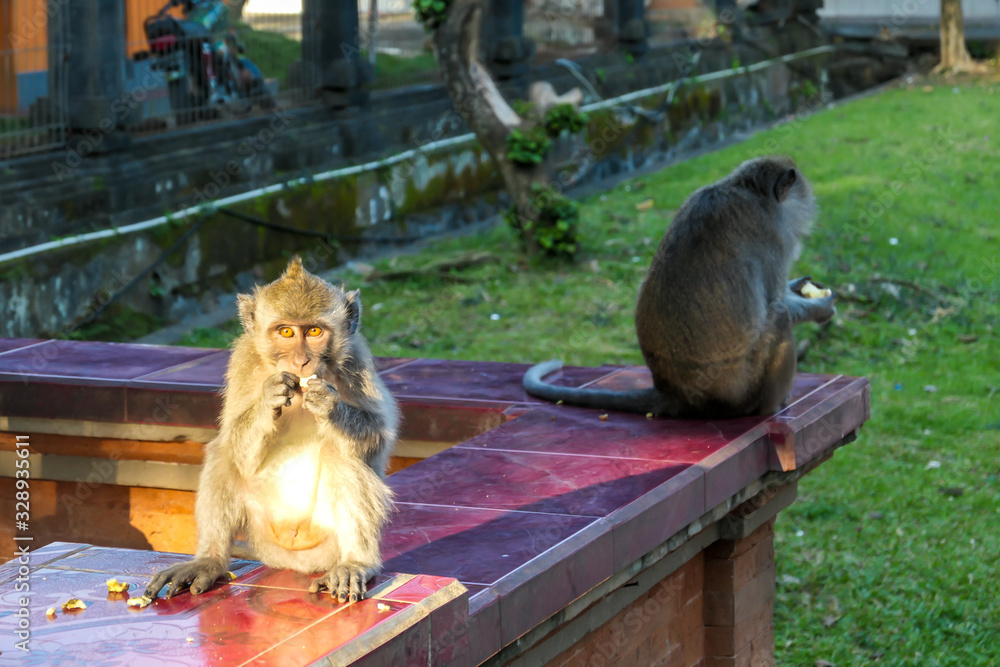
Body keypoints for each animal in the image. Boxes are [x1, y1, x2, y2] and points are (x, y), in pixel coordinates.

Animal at [145, 257, 398, 604]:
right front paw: (270, 399)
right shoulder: (243, 359)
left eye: (314, 331)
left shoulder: (357, 360)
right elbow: (236, 443)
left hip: (324, 541)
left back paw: (356, 563)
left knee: (343, 455)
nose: (302, 361)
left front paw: (328, 405)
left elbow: (377, 436)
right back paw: (209, 561)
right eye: (286, 331)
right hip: (262, 532)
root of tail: (295, 561)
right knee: (225, 453)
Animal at [524, 156, 836, 419]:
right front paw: (819, 307)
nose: (813, 210)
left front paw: (801, 286)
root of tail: (672, 392)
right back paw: (770, 407)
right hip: (741, 391)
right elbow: (775, 302)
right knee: (779, 317)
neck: (750, 192)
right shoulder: (773, 235)